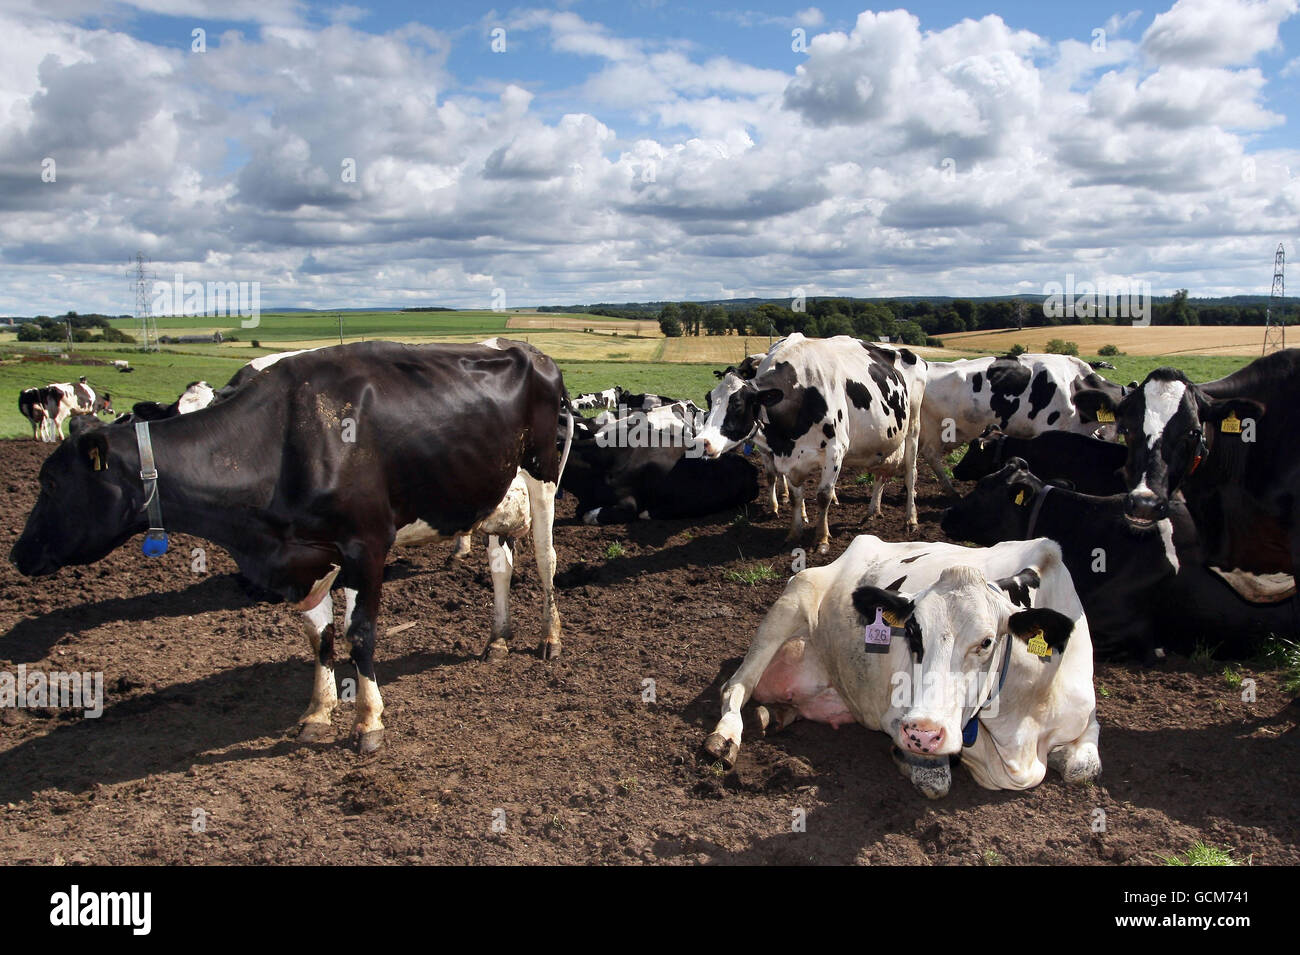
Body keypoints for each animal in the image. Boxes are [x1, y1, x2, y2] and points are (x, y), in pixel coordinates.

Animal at [10, 340, 573, 753]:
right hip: (491, 492)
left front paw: (369, 722)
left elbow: (360, 635)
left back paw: (549, 639)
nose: (17, 556)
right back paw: (497, 638)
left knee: (545, 557)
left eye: (51, 484)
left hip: (543, 474)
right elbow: (318, 638)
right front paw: (319, 712)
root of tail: (531, 351)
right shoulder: (305, 559)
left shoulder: (367, 545)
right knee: (501, 564)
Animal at [697, 334, 928, 552]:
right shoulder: (787, 458)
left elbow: (823, 495)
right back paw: (873, 511)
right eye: (709, 398)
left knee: (911, 473)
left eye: (736, 404)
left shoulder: (835, 450)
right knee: (880, 476)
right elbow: (795, 497)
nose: (702, 441)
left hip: (913, 427)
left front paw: (821, 539)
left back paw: (911, 520)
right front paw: (794, 532)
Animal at [703, 533, 1099, 798]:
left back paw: (771, 715)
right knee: (736, 687)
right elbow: (936, 781)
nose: (923, 731)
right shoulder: (897, 716)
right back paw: (726, 736)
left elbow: (1084, 768)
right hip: (791, 601)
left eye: (987, 642)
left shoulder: (1085, 714)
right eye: (911, 632)